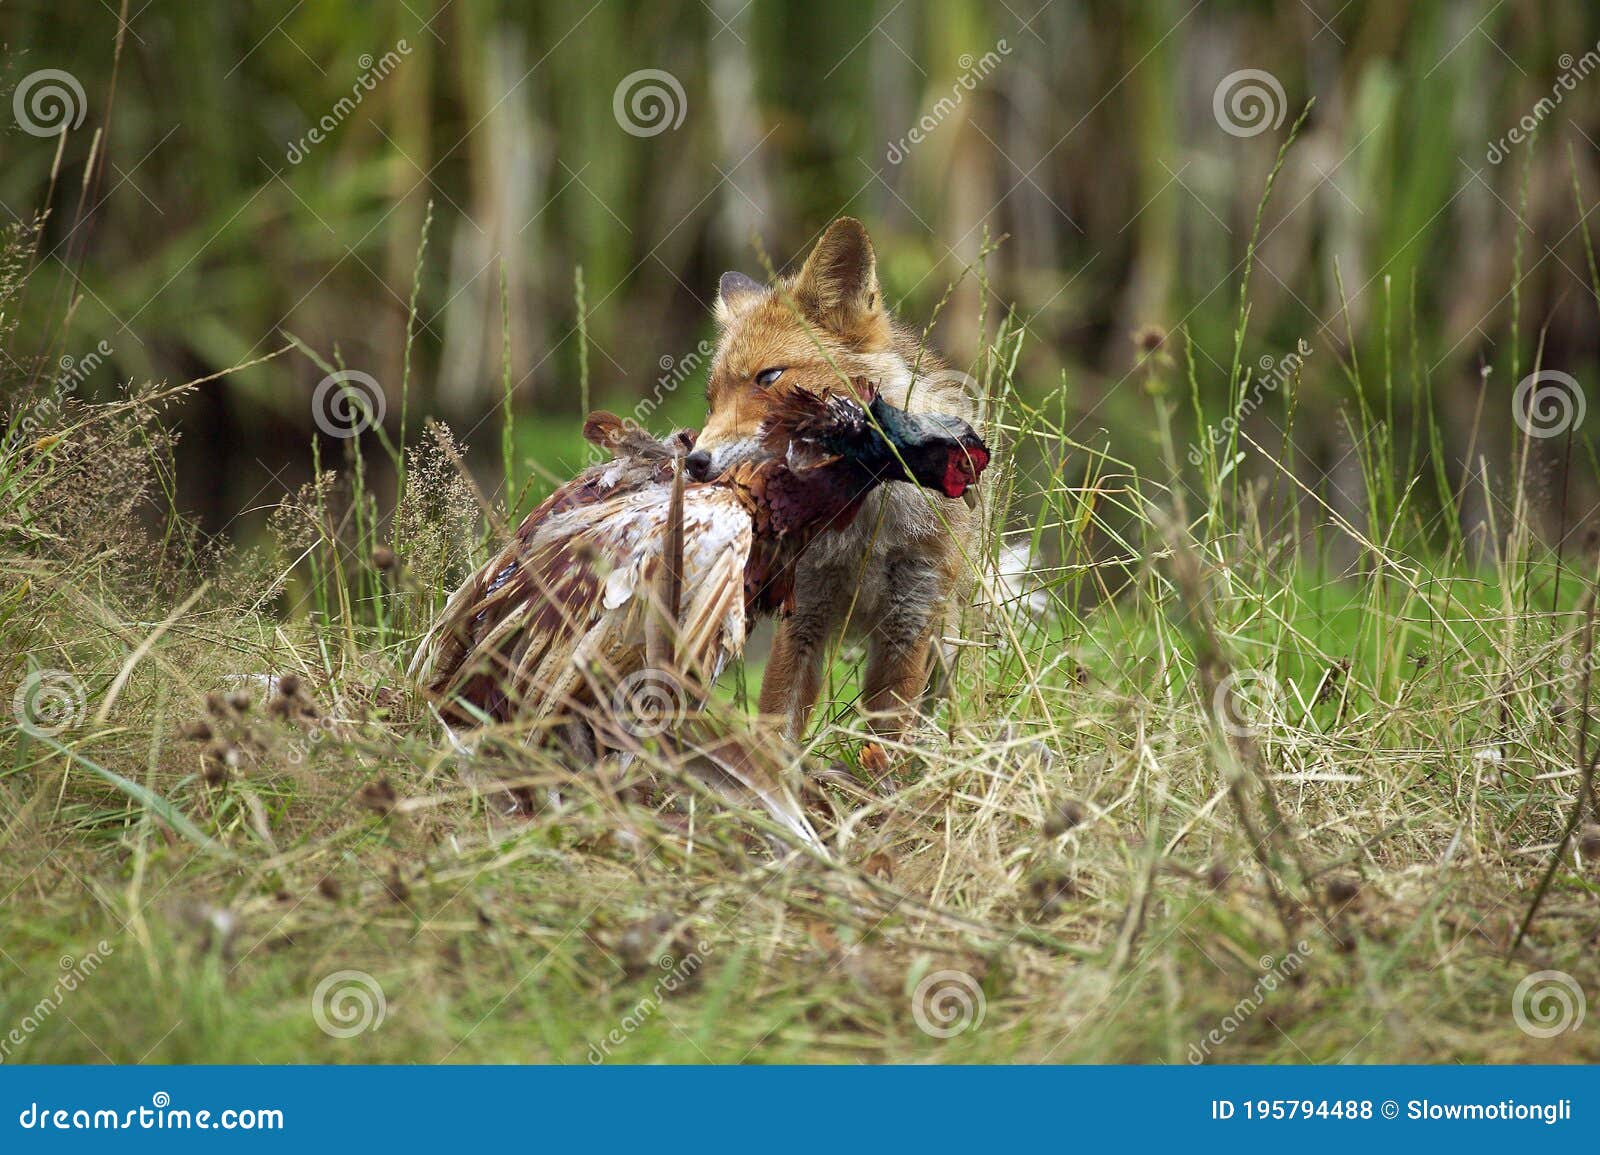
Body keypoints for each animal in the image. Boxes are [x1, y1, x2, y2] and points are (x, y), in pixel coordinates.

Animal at [684, 217, 986, 758]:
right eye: (712, 399)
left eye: (769, 376)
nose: (695, 462)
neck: (862, 528)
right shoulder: (802, 613)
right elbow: (778, 725)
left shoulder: (909, 620)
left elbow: (884, 742)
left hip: (950, 639)